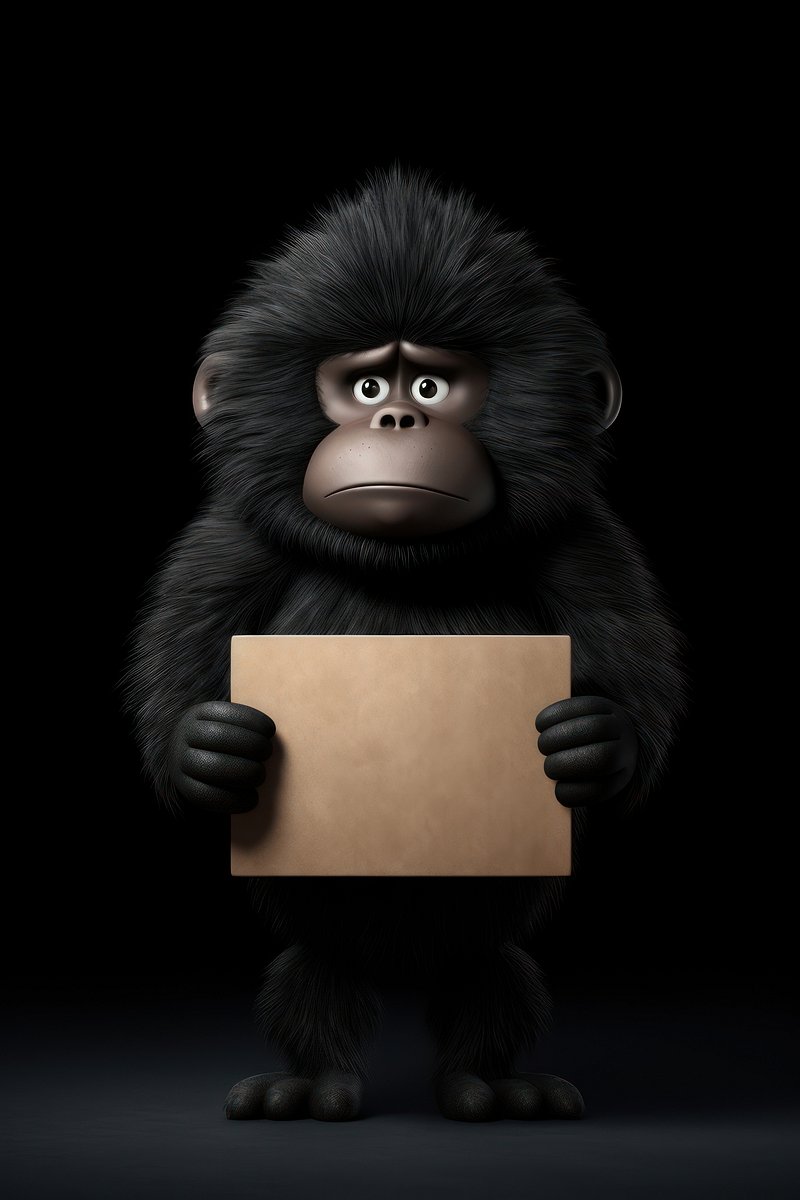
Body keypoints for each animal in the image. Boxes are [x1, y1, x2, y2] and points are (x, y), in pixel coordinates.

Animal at [126, 169, 685, 1123]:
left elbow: (632, 683)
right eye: (360, 387)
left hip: (472, 955)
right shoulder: (226, 544)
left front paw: (596, 738)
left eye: (431, 386)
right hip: (331, 953)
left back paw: (492, 1084)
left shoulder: (585, 544)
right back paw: (309, 1085)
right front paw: (209, 744)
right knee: (314, 979)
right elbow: (183, 664)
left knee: (491, 980)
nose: (393, 420)